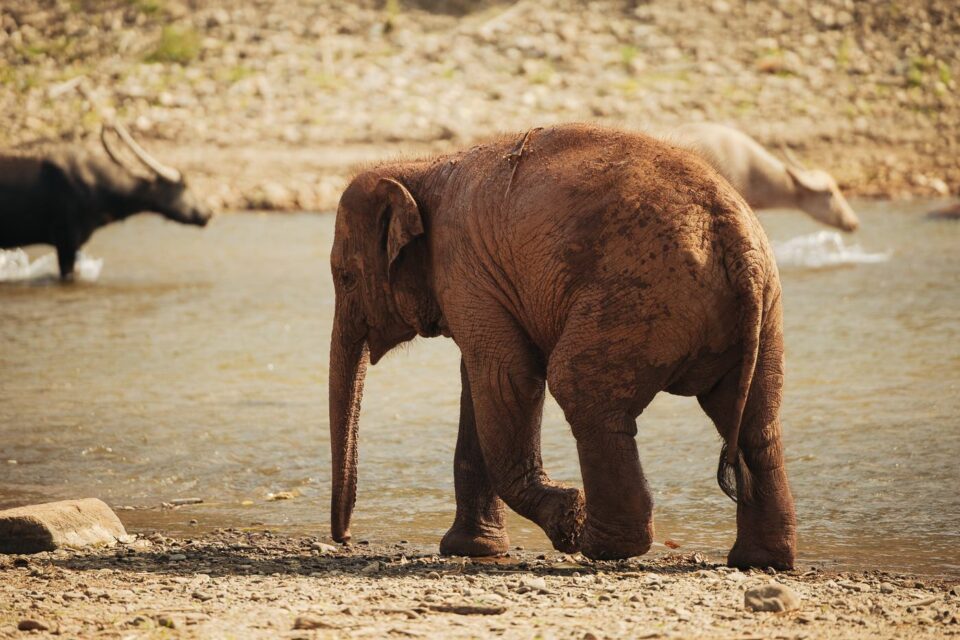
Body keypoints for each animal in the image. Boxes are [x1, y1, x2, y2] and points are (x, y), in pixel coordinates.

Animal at [328, 123, 797, 569]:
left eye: (346, 277)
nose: (345, 538)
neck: (421, 167)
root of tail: (736, 243)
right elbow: (480, 384)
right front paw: (474, 548)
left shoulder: (464, 268)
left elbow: (506, 379)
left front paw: (567, 520)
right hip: (761, 311)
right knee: (755, 421)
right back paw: (760, 560)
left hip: (641, 297)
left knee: (578, 387)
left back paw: (601, 546)